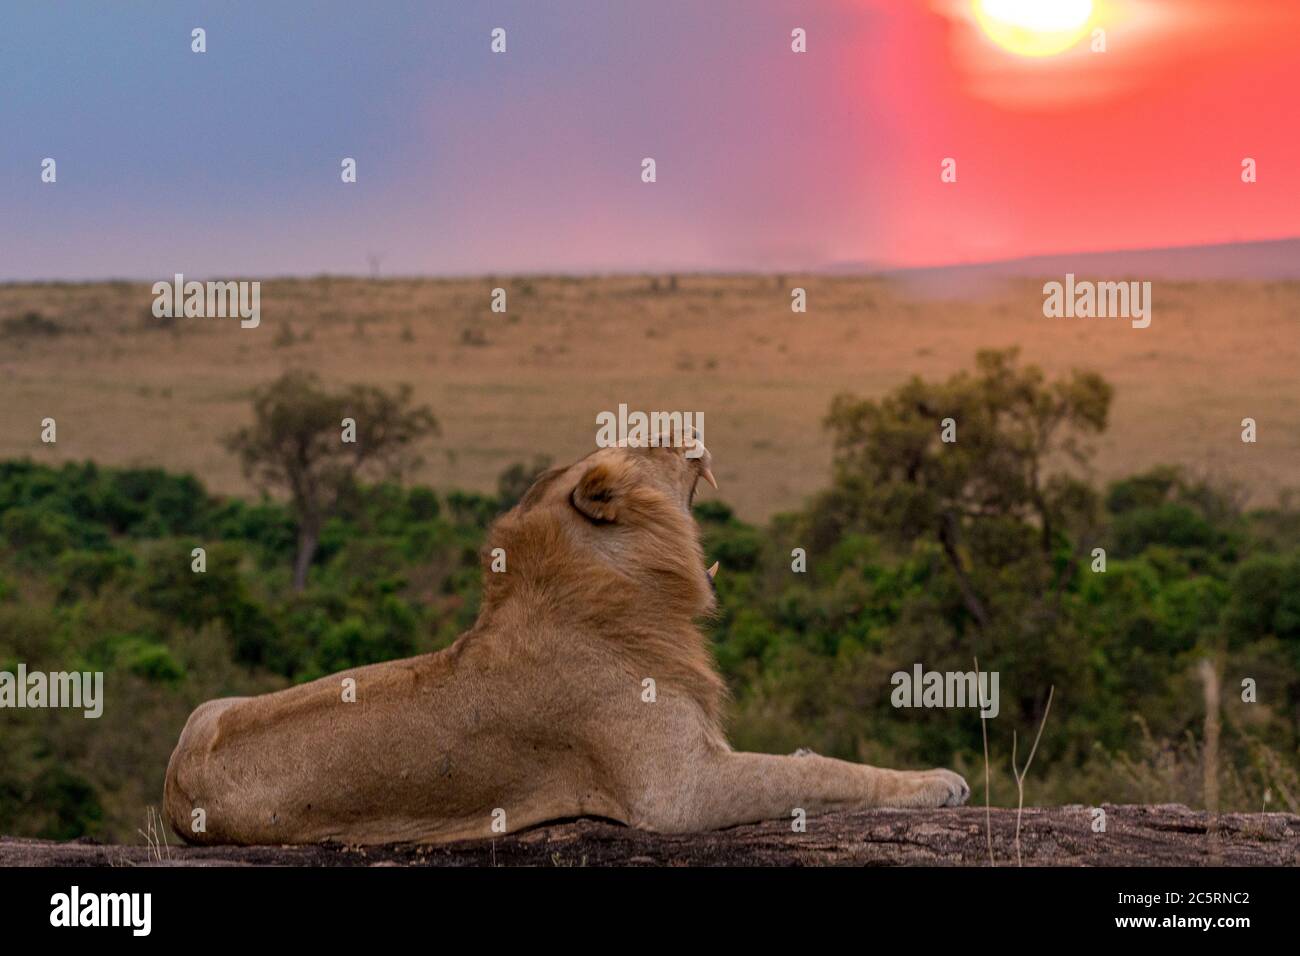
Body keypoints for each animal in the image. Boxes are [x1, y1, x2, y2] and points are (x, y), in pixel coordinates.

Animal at [163, 436, 969, 845]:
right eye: (654, 442)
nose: (692, 435)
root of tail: (172, 789)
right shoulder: (676, 791)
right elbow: (825, 773)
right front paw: (939, 780)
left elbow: (803, 760)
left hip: (211, 703)